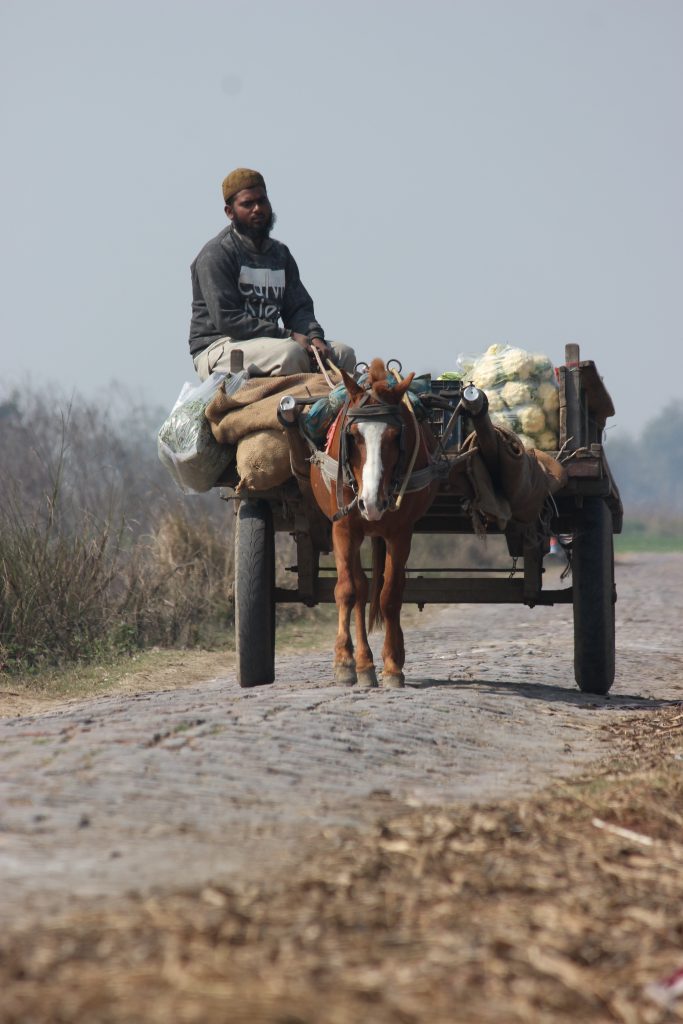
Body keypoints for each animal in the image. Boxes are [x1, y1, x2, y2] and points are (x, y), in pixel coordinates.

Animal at [309, 358, 441, 688]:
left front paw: (393, 665)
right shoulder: (343, 528)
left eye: (396, 436)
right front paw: (344, 662)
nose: (371, 502)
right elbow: (347, 590)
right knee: (359, 588)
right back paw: (363, 663)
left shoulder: (400, 533)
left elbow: (389, 596)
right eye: (353, 436)